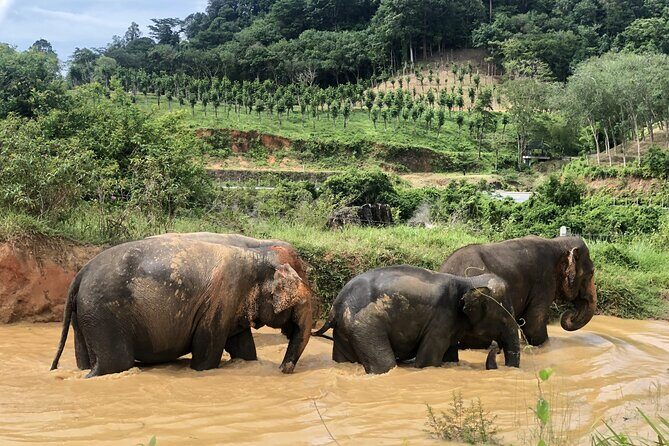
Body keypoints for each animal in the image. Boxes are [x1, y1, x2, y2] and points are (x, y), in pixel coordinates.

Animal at [50, 236, 313, 377]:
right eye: (299, 302)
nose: (283, 369)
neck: (257, 256)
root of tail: (80, 274)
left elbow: (244, 349)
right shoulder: (221, 299)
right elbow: (207, 352)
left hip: (86, 315)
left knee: (85, 357)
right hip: (104, 313)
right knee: (115, 364)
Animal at [312, 265, 520, 374]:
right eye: (503, 319)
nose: (495, 347)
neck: (470, 281)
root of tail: (335, 307)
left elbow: (449, 357)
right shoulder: (441, 321)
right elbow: (428, 361)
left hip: (345, 330)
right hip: (364, 326)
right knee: (384, 364)